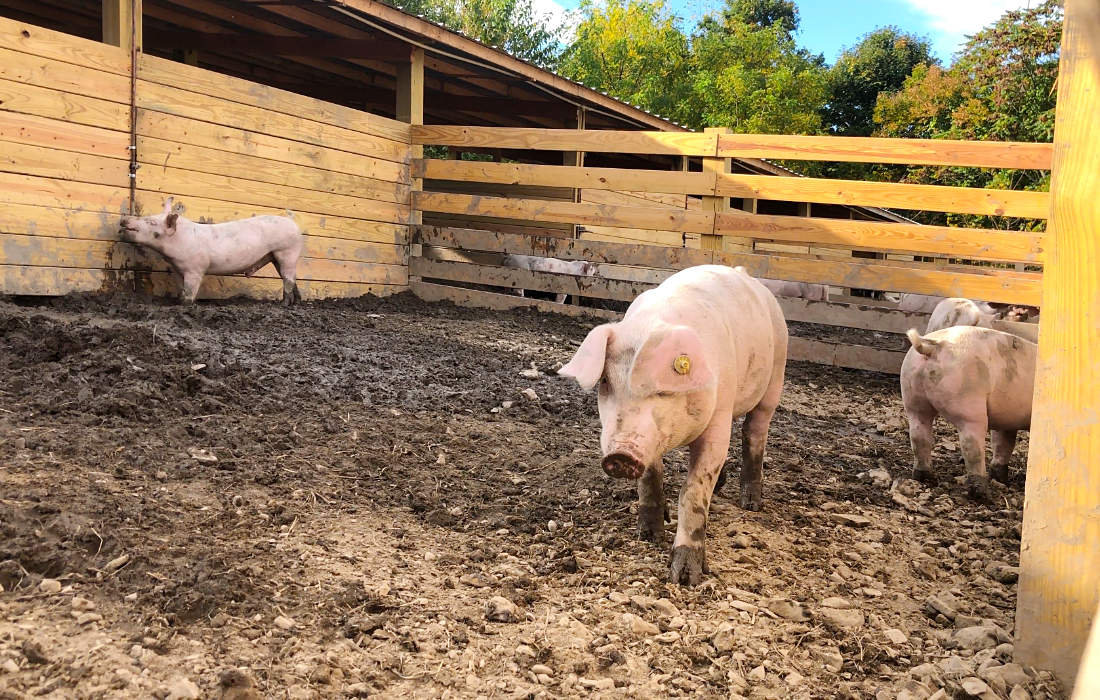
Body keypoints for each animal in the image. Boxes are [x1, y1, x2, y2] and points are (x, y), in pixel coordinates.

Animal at [119, 198, 304, 305]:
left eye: (151, 222)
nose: (124, 220)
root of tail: (294, 225)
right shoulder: (178, 269)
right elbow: (181, 288)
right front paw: (178, 301)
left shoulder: (195, 269)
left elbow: (190, 290)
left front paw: (186, 306)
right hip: (276, 256)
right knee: (291, 278)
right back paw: (295, 303)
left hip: (287, 251)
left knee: (288, 279)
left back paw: (283, 305)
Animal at [559, 265, 788, 585]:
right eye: (605, 382)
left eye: (662, 390)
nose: (620, 455)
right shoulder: (650, 440)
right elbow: (649, 478)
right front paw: (648, 536)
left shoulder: (717, 416)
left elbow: (693, 490)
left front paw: (685, 578)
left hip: (775, 375)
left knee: (754, 433)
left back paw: (752, 503)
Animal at [901, 326, 1036, 501]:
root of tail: (932, 348)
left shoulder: (1007, 419)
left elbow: (1003, 444)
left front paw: (1001, 479)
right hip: (969, 407)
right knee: (971, 447)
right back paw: (984, 495)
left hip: (912, 399)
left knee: (919, 437)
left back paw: (925, 478)